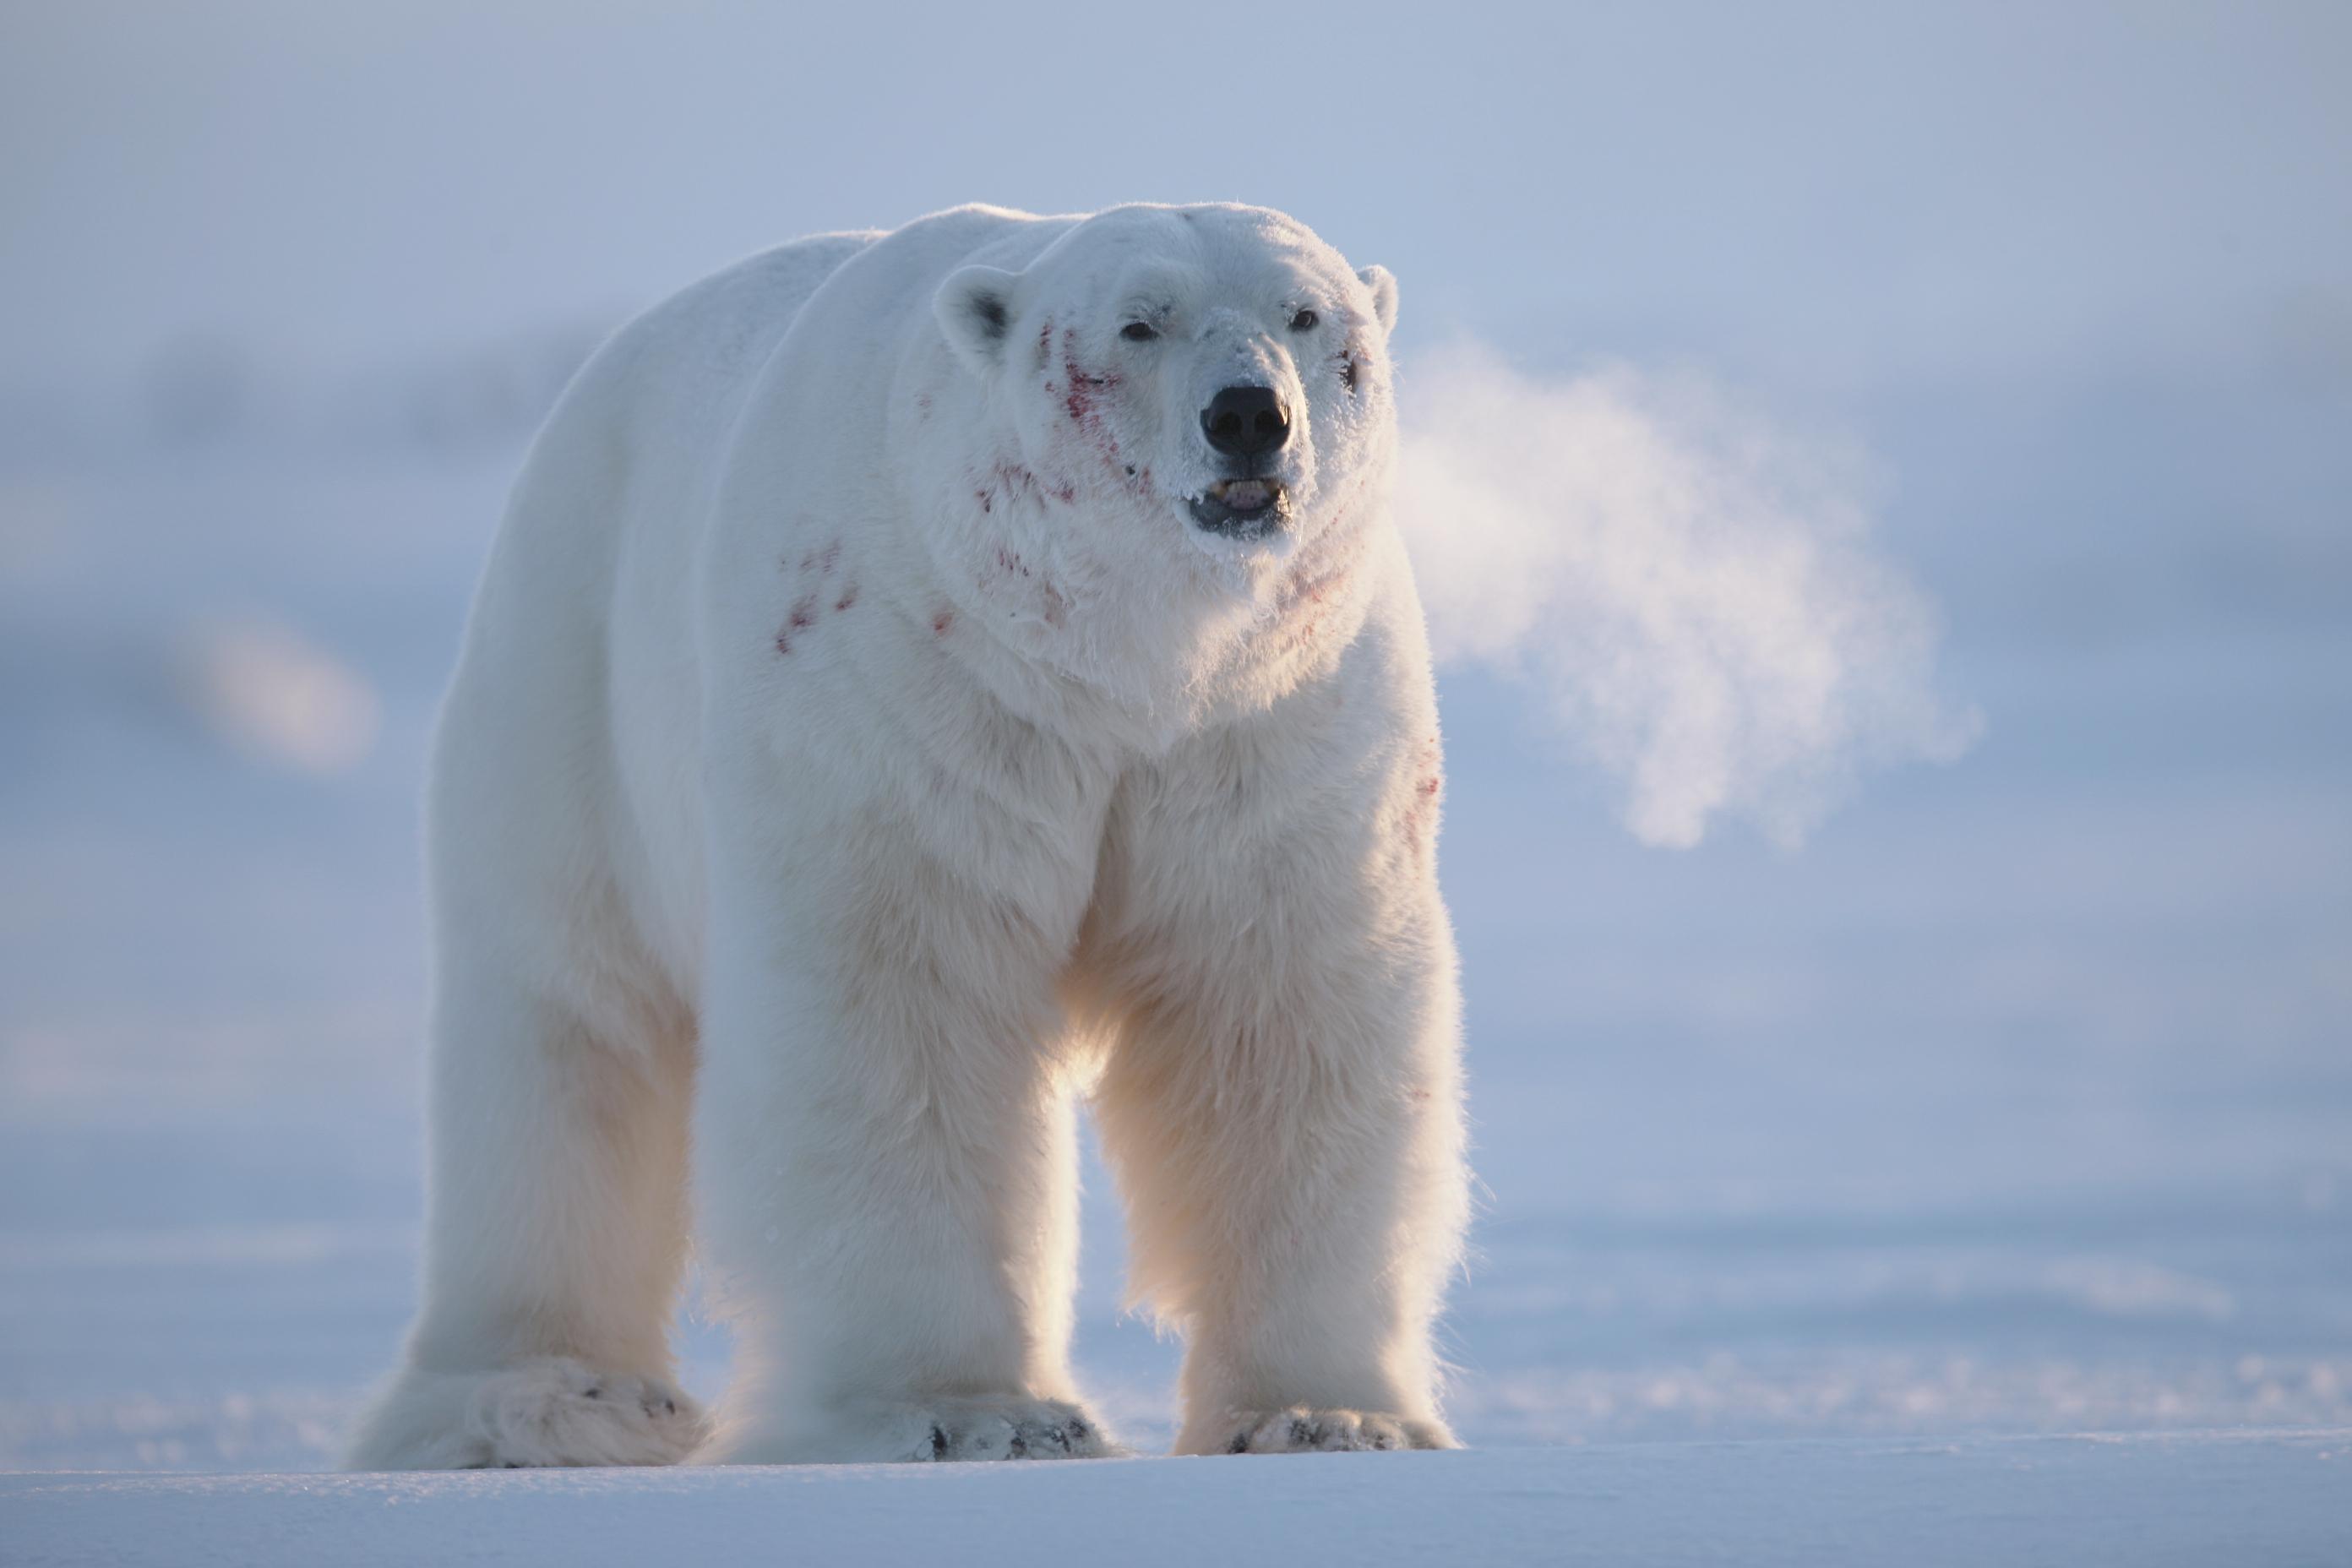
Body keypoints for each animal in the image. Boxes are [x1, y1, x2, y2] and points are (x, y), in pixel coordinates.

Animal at [341, 203, 1468, 1468]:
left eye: (1308, 315)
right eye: (1138, 324)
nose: (1247, 417)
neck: (1125, 665)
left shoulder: (1270, 726)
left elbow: (1279, 1021)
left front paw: (1327, 1417)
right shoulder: (912, 691)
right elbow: (902, 1009)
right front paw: (975, 1416)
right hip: (570, 679)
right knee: (565, 1028)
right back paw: (550, 1399)